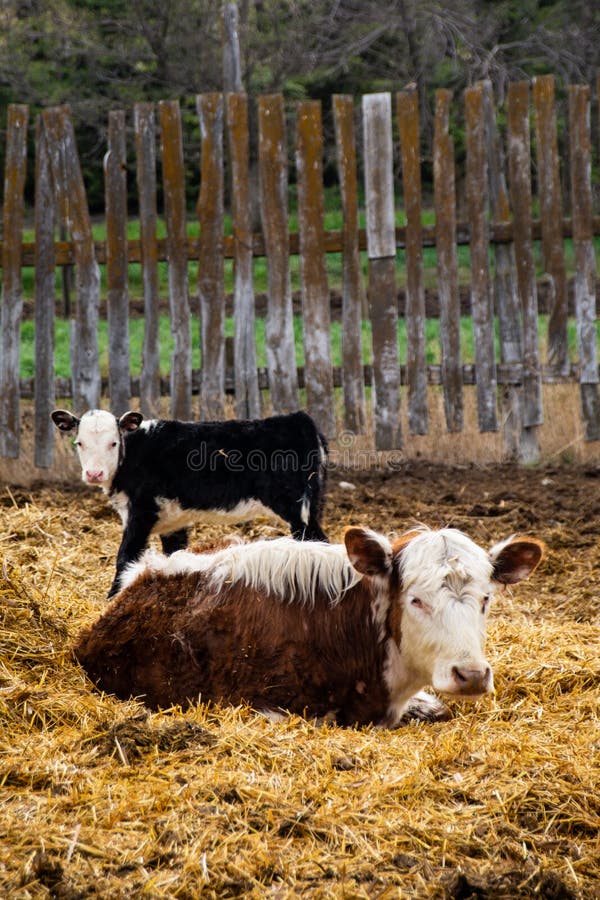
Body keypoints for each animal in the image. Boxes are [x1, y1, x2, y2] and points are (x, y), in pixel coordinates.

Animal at [51, 408, 328, 597]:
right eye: (79, 443)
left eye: (114, 443)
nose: (94, 473)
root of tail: (299, 419)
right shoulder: (172, 522)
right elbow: (173, 554)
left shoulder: (141, 513)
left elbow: (125, 556)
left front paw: (112, 598)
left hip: (297, 508)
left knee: (316, 541)